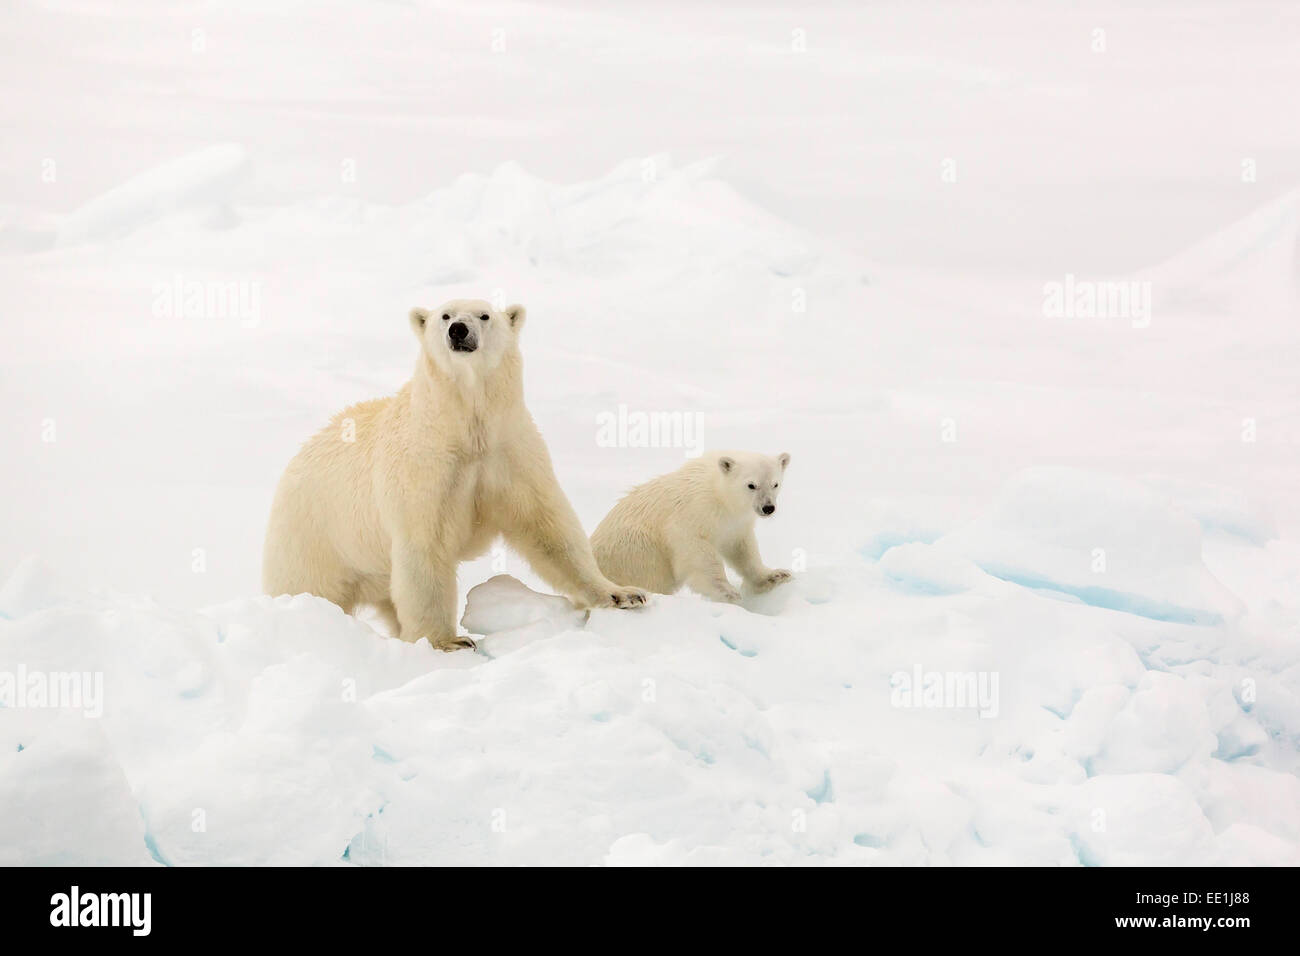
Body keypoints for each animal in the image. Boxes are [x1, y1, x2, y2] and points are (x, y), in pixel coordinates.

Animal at [262, 298, 648, 650]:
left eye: (484, 315)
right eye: (444, 315)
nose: (458, 330)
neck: (464, 427)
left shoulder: (509, 452)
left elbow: (548, 527)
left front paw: (622, 594)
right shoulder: (424, 468)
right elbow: (425, 546)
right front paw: (449, 642)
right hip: (316, 538)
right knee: (308, 586)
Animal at [591, 450, 792, 603]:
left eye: (775, 484)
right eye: (751, 485)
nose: (768, 508)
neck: (719, 495)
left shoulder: (734, 523)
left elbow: (742, 549)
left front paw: (775, 576)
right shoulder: (691, 514)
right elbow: (697, 551)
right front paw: (727, 590)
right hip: (636, 554)